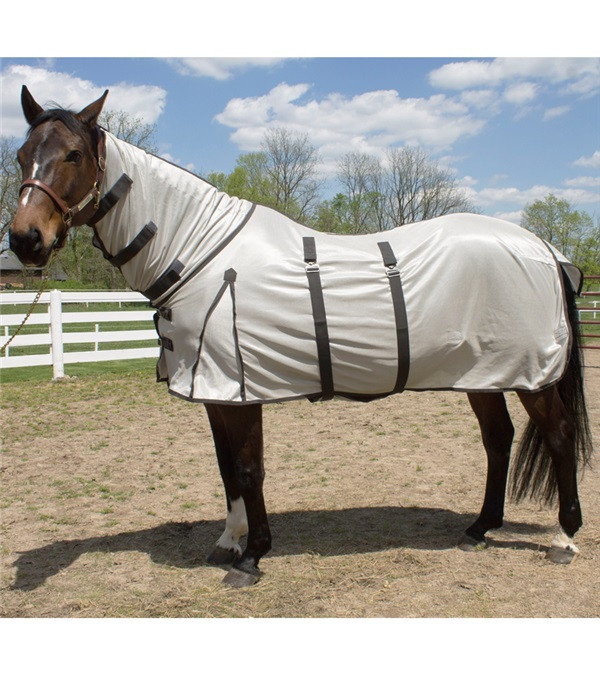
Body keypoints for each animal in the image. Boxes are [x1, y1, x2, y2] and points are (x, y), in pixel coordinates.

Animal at [9, 87, 593, 588]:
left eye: (73, 154)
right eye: (20, 155)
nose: (25, 240)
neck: (199, 251)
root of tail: (546, 250)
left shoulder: (241, 390)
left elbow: (249, 470)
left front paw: (253, 557)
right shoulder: (216, 393)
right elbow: (226, 469)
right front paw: (230, 541)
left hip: (534, 377)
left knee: (560, 437)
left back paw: (564, 539)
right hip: (482, 373)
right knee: (498, 439)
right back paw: (479, 528)